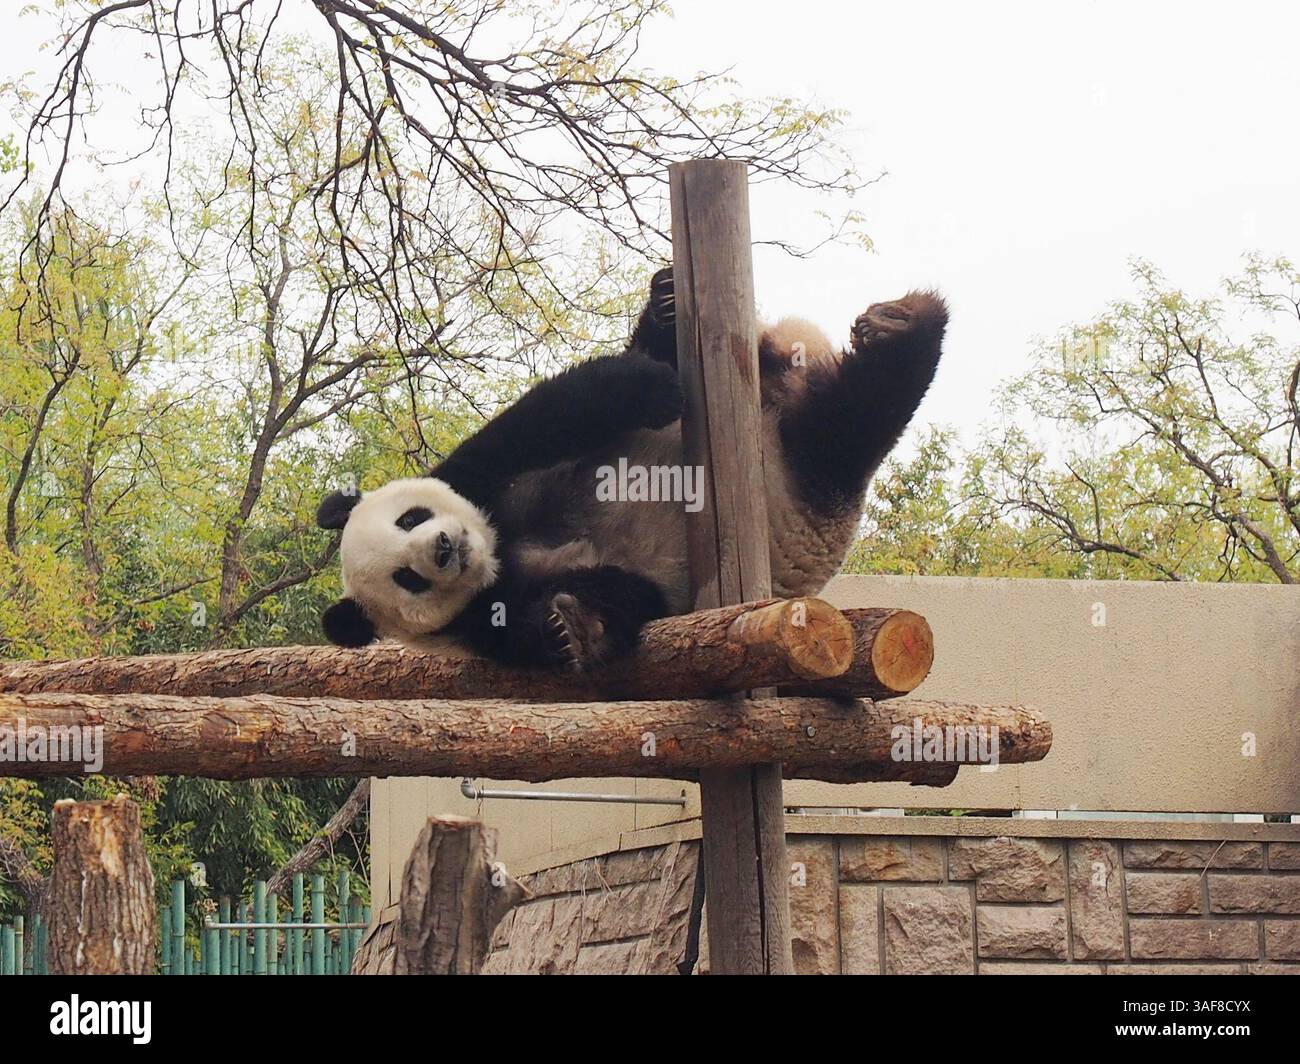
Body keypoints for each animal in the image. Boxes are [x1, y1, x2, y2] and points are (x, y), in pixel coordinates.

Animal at [316, 267, 947, 670]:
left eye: (410, 518)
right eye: (409, 578)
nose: (446, 548)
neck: (497, 544)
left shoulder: (477, 471)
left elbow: (567, 407)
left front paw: (649, 385)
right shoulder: (476, 619)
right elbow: (620, 597)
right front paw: (569, 630)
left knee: (862, 404)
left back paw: (897, 320)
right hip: (812, 469)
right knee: (855, 417)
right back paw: (903, 329)